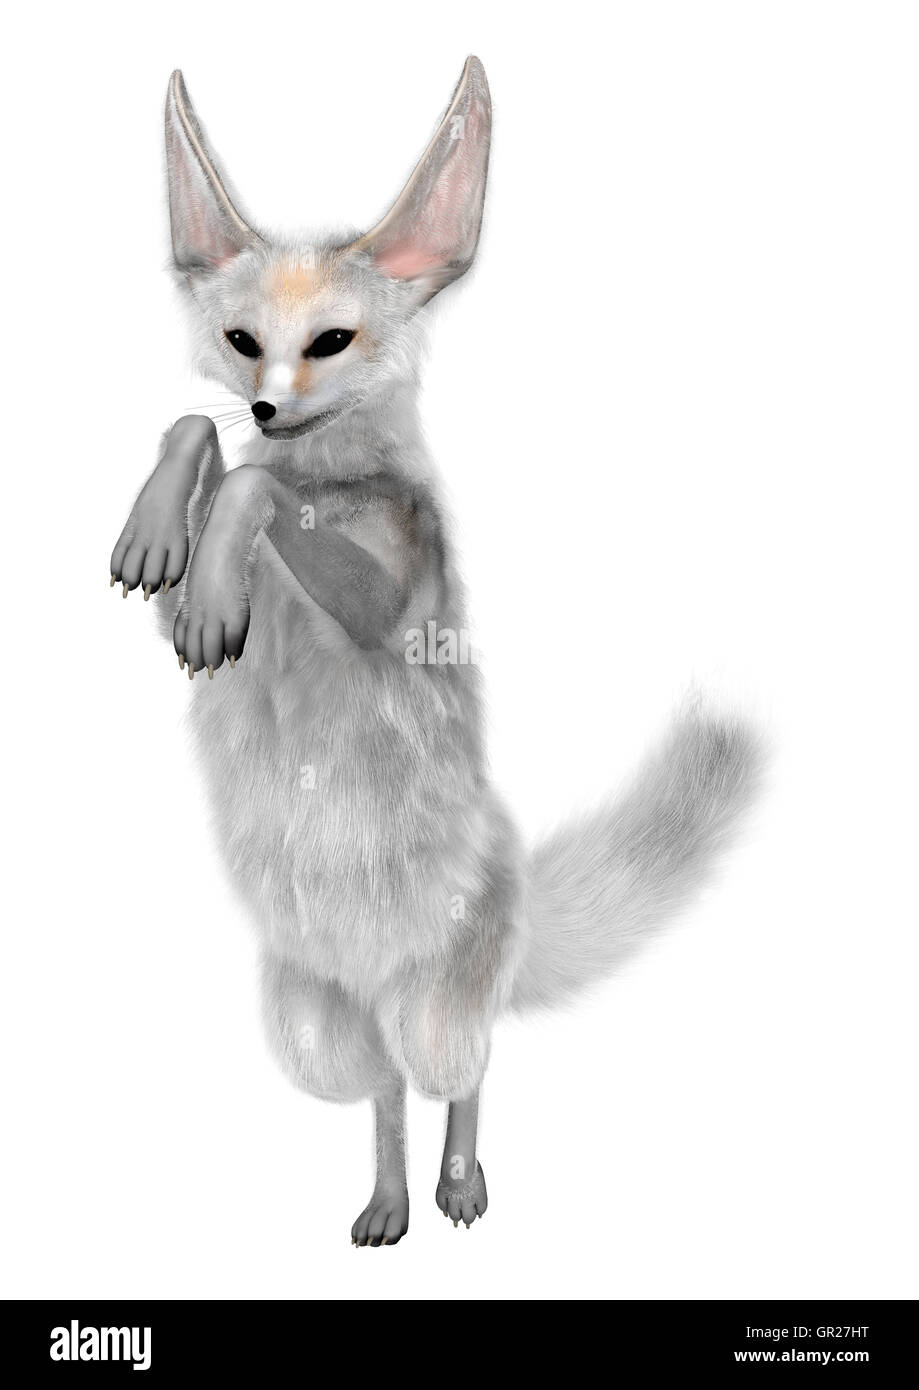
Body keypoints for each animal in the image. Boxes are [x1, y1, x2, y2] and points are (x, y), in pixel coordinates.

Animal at [110, 57, 761, 1246]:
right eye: (242, 341)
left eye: (332, 341)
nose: (266, 407)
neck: (331, 481)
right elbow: (191, 443)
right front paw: (162, 538)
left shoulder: (385, 603)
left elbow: (254, 486)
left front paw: (228, 537)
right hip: (314, 1035)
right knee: (381, 1096)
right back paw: (388, 1202)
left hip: (436, 1015)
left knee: (463, 1076)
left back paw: (460, 1184)